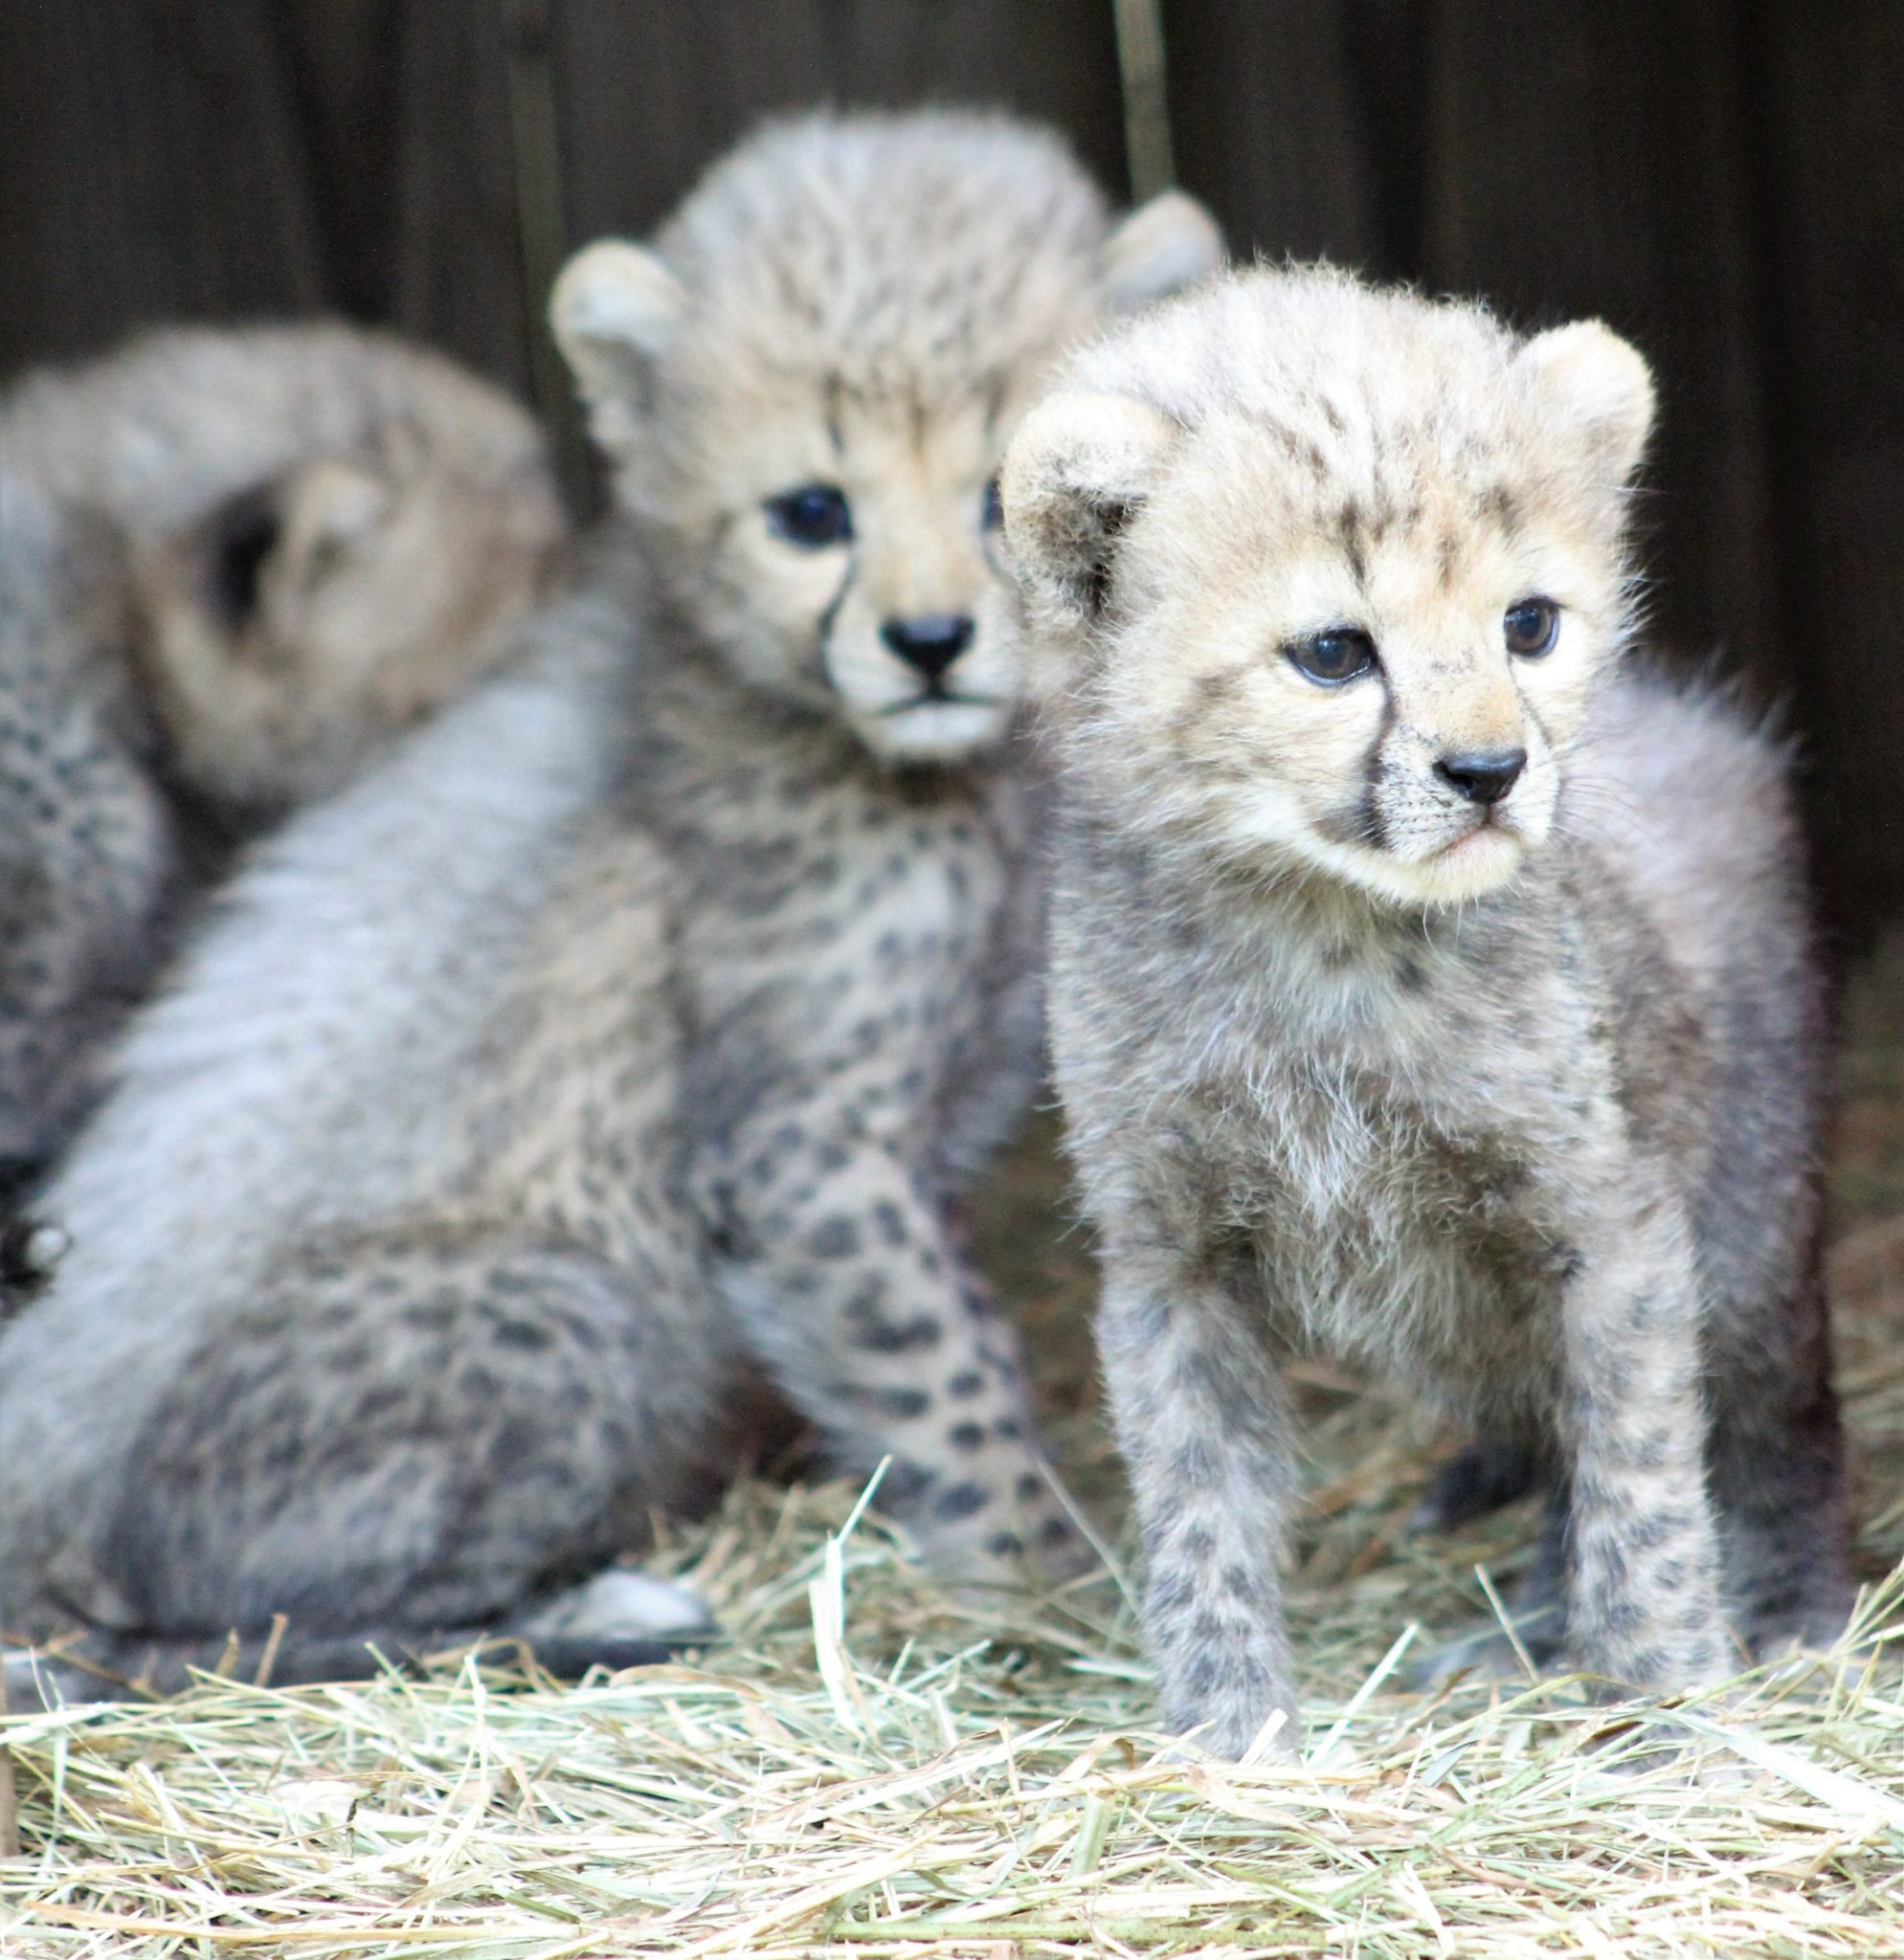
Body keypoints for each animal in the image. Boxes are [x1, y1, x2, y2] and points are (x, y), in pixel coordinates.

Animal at [0, 109, 1223, 1697]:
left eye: (995, 498)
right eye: (811, 514)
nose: (931, 643)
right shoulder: (798, 1149)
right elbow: (942, 1372)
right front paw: (1043, 1578)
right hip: (565, 1309)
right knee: (211, 1627)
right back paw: (590, 1612)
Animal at [1001, 263, 1850, 1757]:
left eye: (1530, 624)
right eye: (1335, 652)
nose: (1490, 771)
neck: (1324, 935)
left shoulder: (1610, 1223)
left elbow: (1643, 1481)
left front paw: (1673, 1703)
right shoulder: (1171, 1258)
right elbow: (1198, 1505)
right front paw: (1229, 1737)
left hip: (1751, 1211)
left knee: (1772, 1417)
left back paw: (1790, 1608)